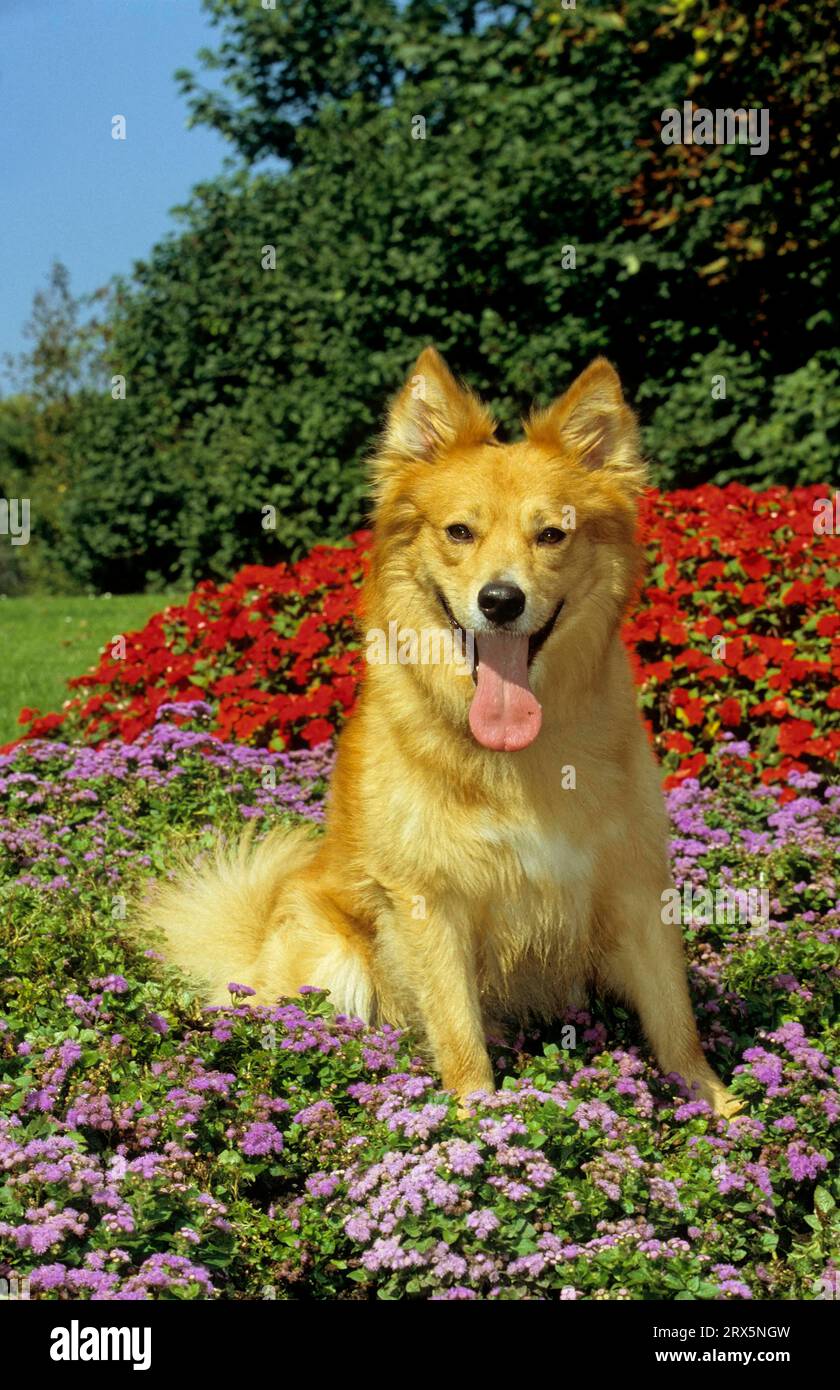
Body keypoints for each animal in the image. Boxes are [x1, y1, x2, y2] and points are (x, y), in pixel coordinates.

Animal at [142, 347, 741, 1118]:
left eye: (552, 533)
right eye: (459, 532)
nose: (501, 600)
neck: (517, 757)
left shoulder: (635, 883)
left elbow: (677, 1020)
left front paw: (720, 1109)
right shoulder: (428, 901)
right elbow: (457, 1030)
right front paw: (475, 1121)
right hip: (330, 959)